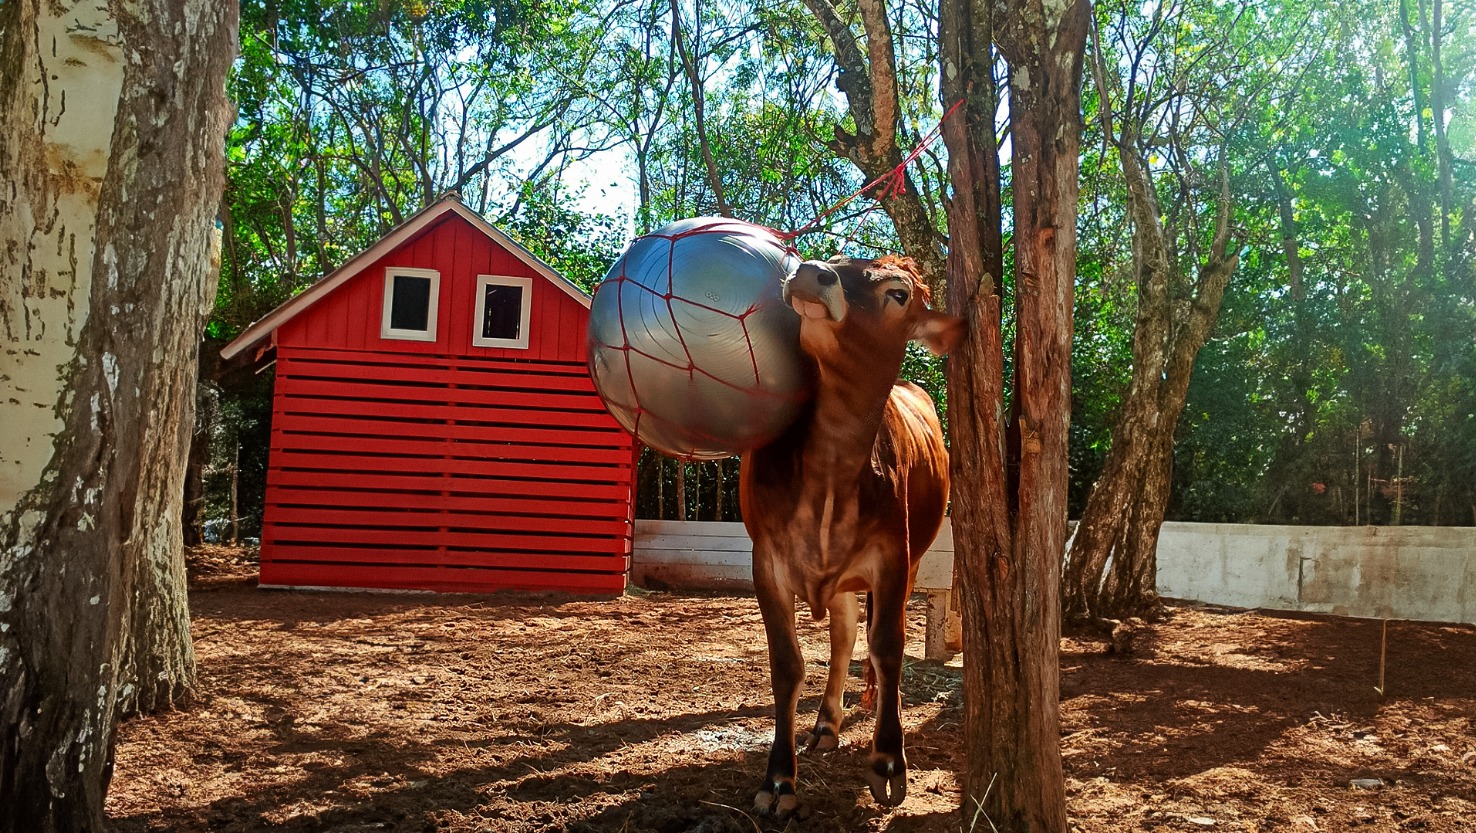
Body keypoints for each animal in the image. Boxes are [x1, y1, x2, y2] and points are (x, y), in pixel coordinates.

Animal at [739, 254, 963, 816]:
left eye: (897, 293)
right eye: (838, 260)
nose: (811, 271)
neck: (833, 467)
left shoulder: (893, 559)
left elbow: (888, 647)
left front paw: (888, 760)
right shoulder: (766, 562)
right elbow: (787, 665)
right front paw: (780, 780)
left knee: (872, 637)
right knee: (842, 632)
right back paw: (825, 724)